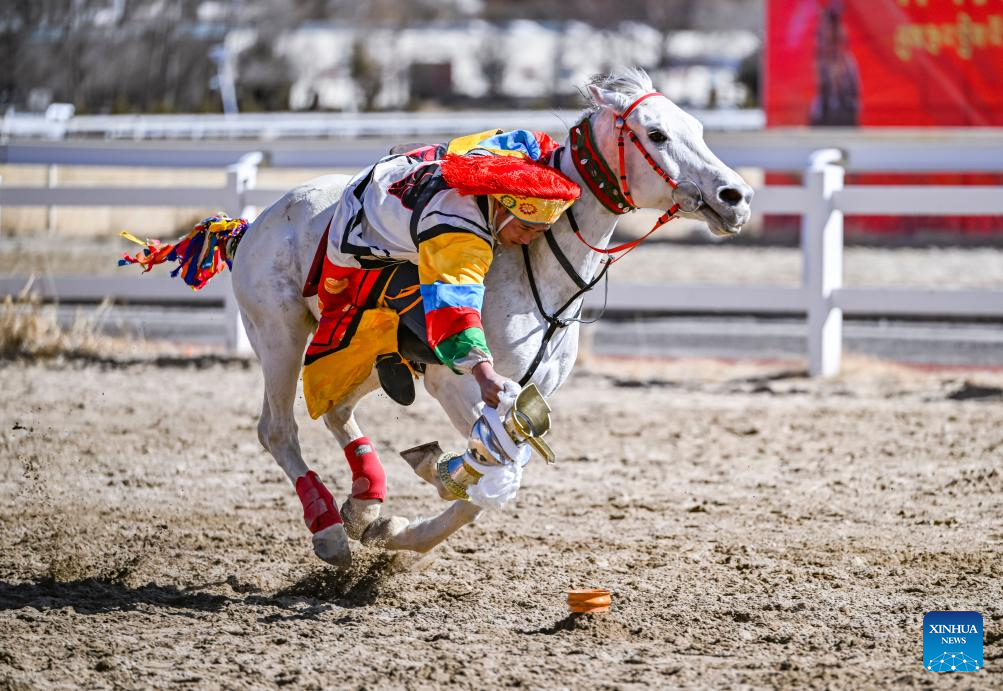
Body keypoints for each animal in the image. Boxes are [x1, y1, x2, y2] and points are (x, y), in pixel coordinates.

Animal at [229, 69, 753, 567]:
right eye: (657, 134)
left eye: (697, 129)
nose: (737, 196)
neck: (535, 264)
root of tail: (257, 224)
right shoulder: (456, 383)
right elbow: (497, 471)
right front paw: (411, 517)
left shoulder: (531, 395)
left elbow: (488, 482)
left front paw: (395, 529)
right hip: (280, 338)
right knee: (277, 430)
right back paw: (331, 532)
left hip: (362, 355)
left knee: (337, 412)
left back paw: (364, 503)